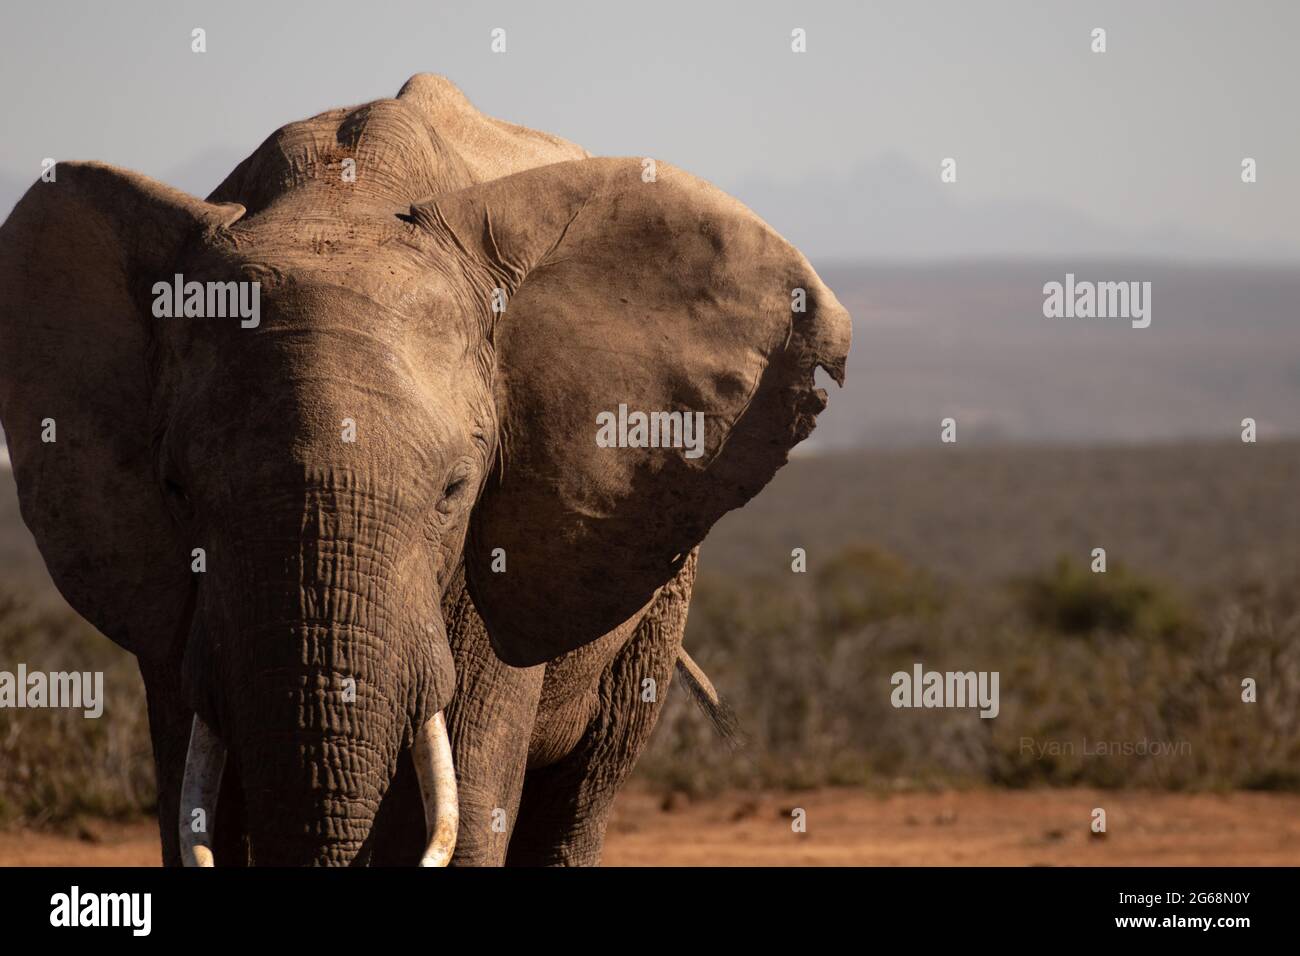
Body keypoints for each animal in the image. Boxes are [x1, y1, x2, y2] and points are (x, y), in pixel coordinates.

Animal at [0, 74, 850, 866]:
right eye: (177, 491)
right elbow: (195, 799)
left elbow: (467, 796)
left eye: (455, 490)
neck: (342, 194)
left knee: (582, 793)